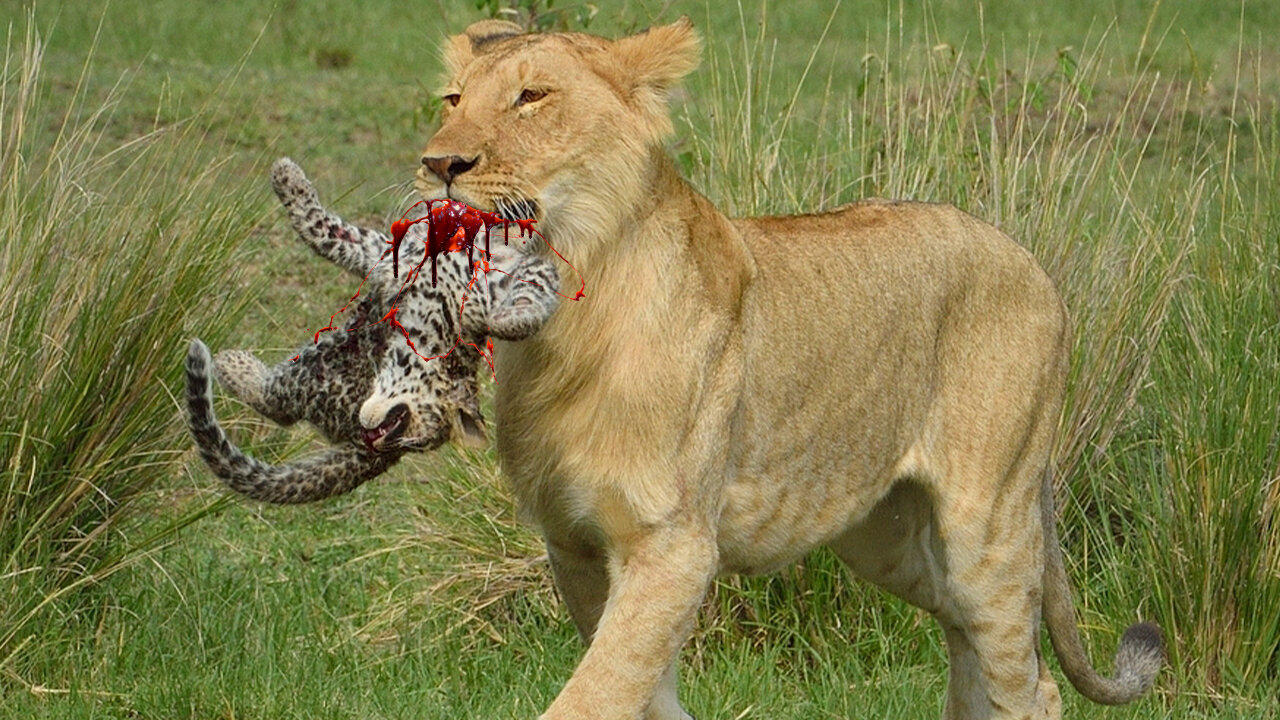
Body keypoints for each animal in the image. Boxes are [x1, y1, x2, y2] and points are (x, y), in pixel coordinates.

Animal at [184, 158, 560, 504]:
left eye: (412, 437)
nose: (375, 441)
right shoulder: (392, 253)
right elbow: (332, 234)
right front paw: (287, 178)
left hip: (320, 371)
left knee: (274, 403)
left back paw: (232, 363)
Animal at [393, 17, 1165, 720]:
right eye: (454, 99)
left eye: (532, 96)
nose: (439, 164)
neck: (569, 313)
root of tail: (1027, 258)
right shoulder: (574, 542)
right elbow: (638, 690)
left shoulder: (673, 543)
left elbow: (596, 695)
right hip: (890, 541)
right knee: (978, 655)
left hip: (989, 520)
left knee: (1027, 683)